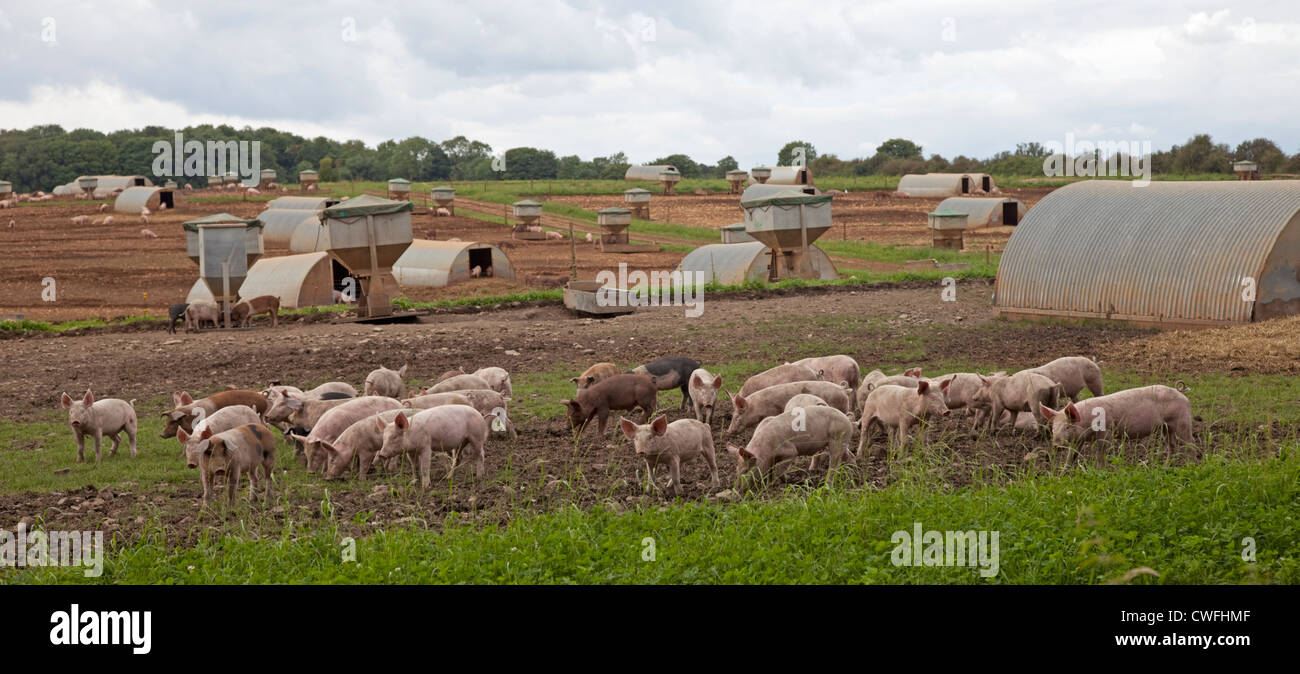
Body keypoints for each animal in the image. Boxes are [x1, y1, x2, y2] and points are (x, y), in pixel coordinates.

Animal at [725, 406, 855, 483]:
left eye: (745, 471)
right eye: (737, 470)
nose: (737, 494)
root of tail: (847, 419)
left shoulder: (790, 451)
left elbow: (779, 470)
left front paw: (786, 481)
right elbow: (771, 471)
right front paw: (770, 483)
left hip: (837, 438)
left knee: (834, 464)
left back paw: (827, 484)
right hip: (841, 441)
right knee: (849, 456)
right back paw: (854, 471)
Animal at [1040, 385, 1193, 451]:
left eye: (1067, 427)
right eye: (1053, 428)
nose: (1056, 445)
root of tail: (1180, 393)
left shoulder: (1106, 433)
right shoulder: (1078, 440)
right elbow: (1071, 457)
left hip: (1182, 422)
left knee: (1190, 445)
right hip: (1166, 427)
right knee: (1171, 444)